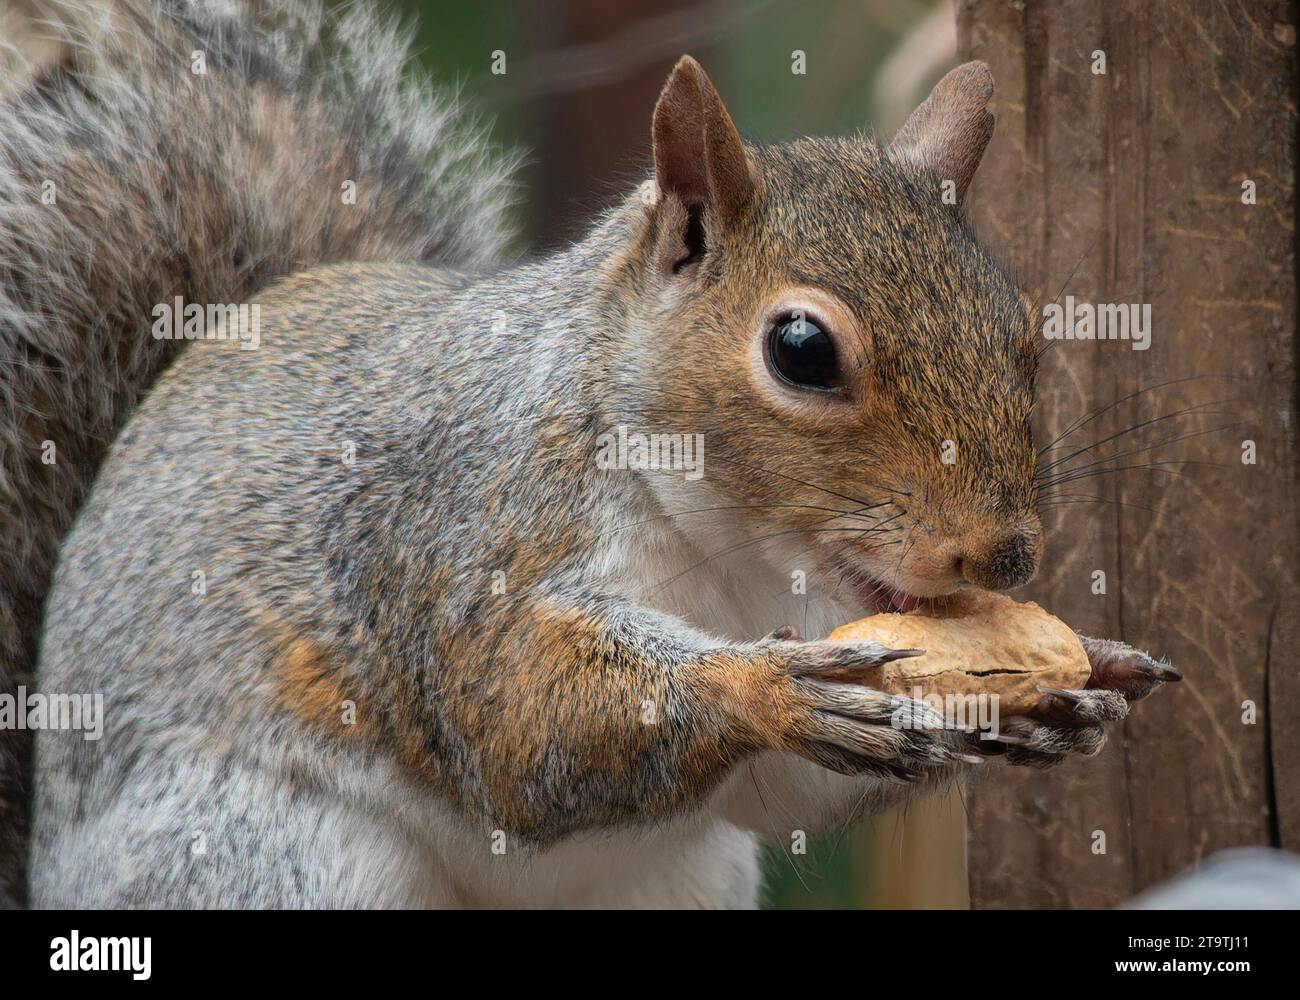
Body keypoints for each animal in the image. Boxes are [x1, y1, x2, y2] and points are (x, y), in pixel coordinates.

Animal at [0, 0, 1179, 909]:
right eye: (801, 350)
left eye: (1021, 331)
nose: (1007, 557)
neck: (733, 555)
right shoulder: (465, 530)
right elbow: (514, 714)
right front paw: (763, 686)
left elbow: (784, 789)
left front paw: (1072, 683)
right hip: (258, 851)